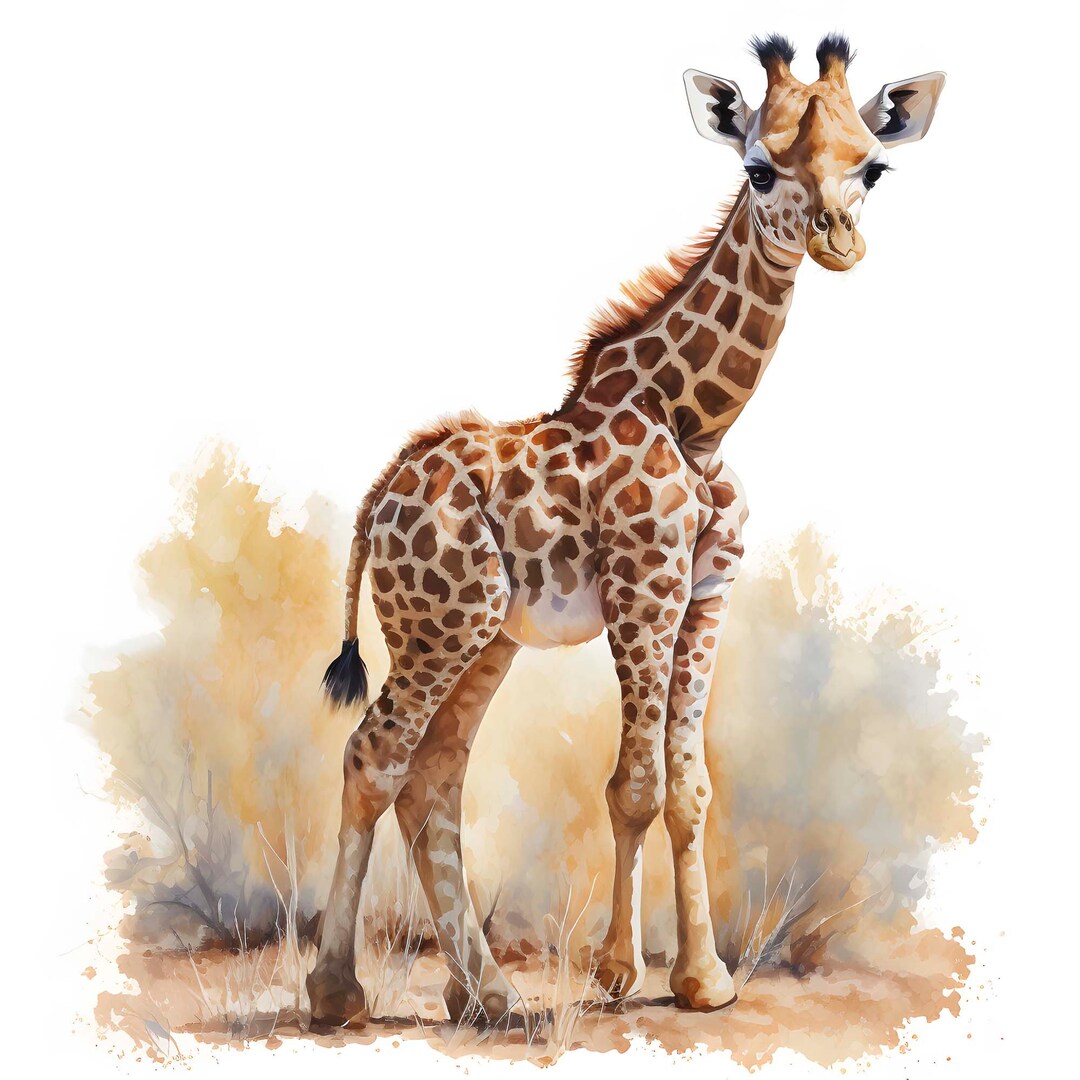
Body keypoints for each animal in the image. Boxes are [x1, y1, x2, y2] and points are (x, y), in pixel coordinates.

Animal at [307, 33, 945, 1027]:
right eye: (759, 167)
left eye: (871, 165)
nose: (838, 239)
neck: (696, 421)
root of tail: (378, 500)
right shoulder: (646, 586)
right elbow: (636, 784)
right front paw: (622, 973)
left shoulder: (708, 590)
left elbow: (691, 786)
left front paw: (703, 980)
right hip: (439, 626)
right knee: (375, 758)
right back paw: (338, 992)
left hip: (485, 638)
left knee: (433, 780)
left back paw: (486, 993)